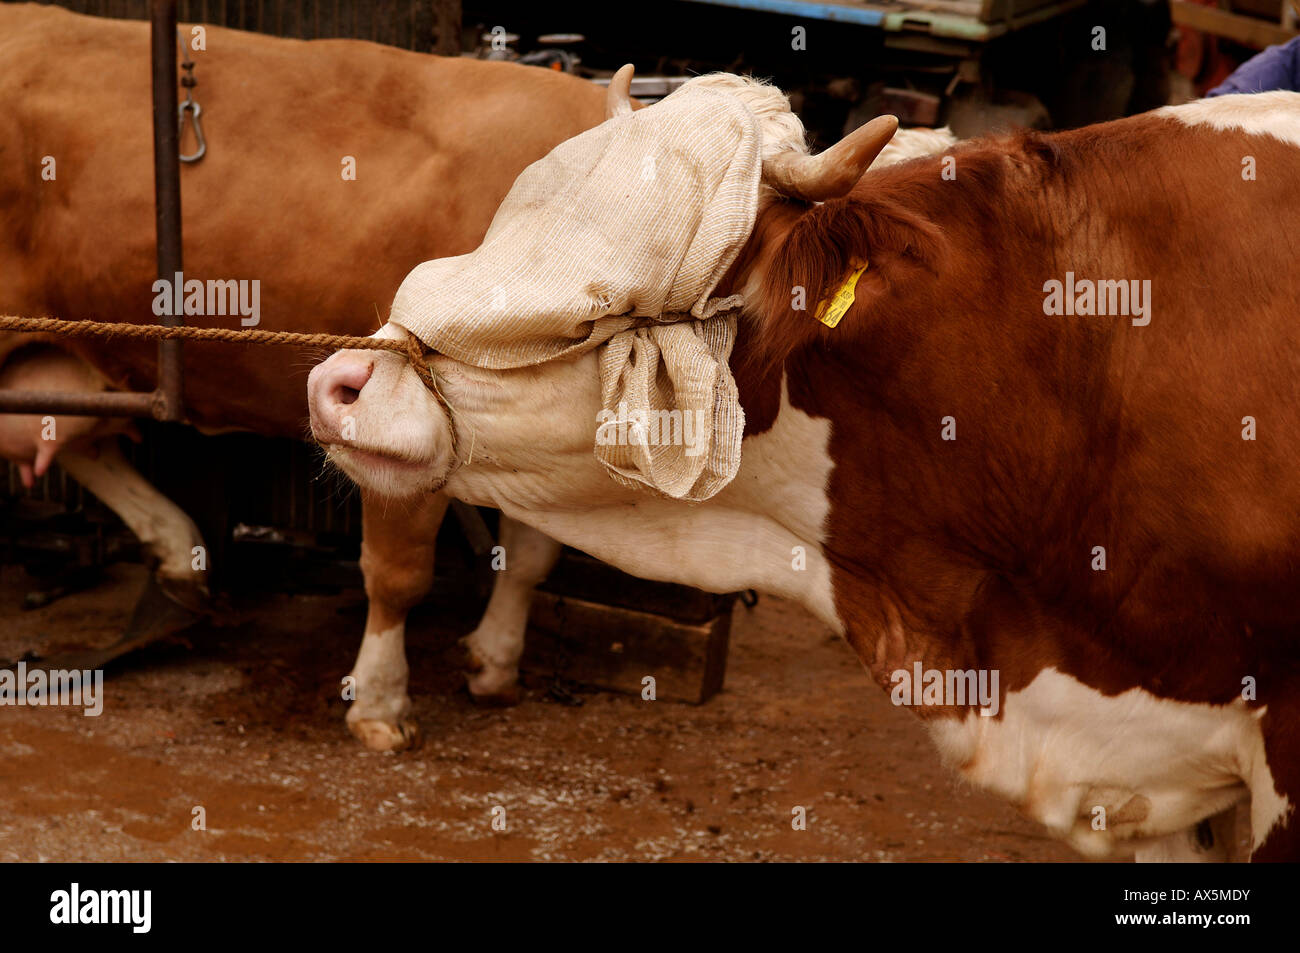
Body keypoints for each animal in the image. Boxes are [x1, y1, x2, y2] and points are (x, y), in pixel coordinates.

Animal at [0, 3, 605, 749]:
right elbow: (400, 573)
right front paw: (378, 703)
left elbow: (530, 555)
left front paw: (494, 664)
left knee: (78, 441)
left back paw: (179, 554)